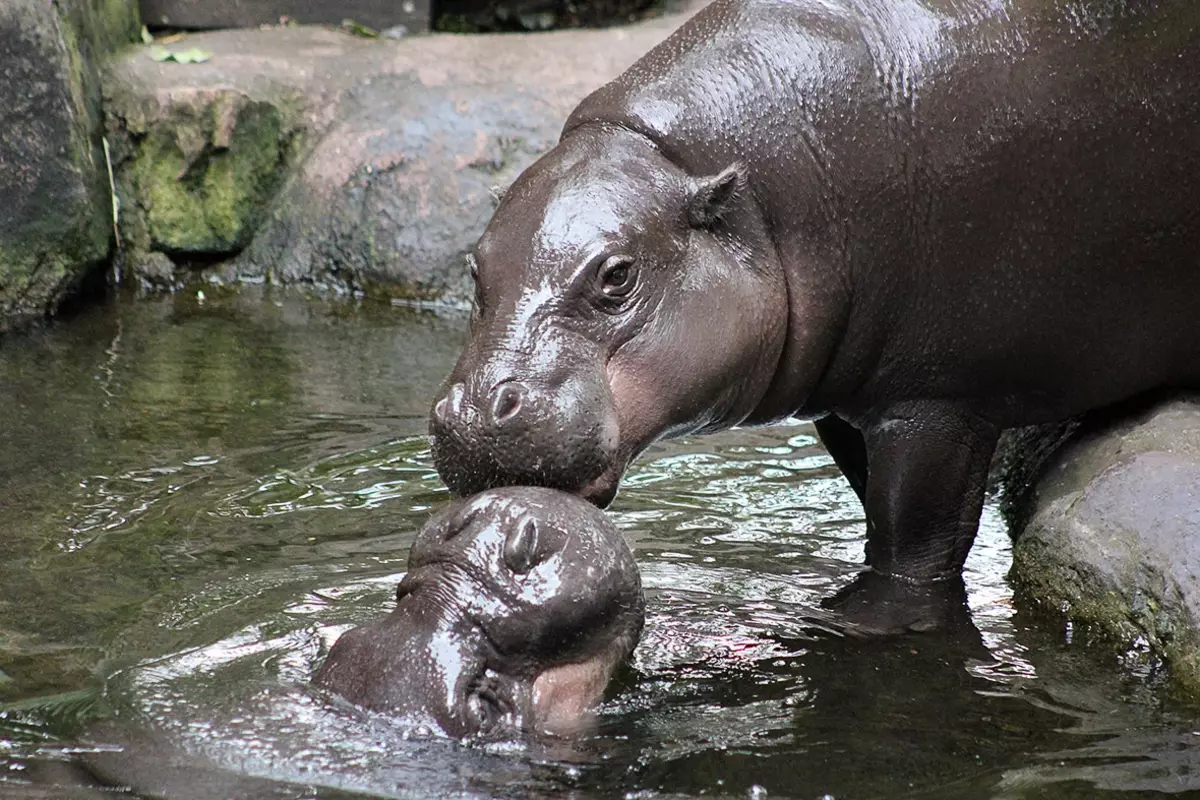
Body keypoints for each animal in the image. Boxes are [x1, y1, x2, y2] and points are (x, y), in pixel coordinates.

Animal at [429, 0, 1200, 633]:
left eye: (617, 275)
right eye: (475, 266)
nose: (471, 413)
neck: (750, 200)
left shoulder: (935, 405)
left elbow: (915, 546)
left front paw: (861, 618)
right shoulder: (849, 402)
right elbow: (873, 508)